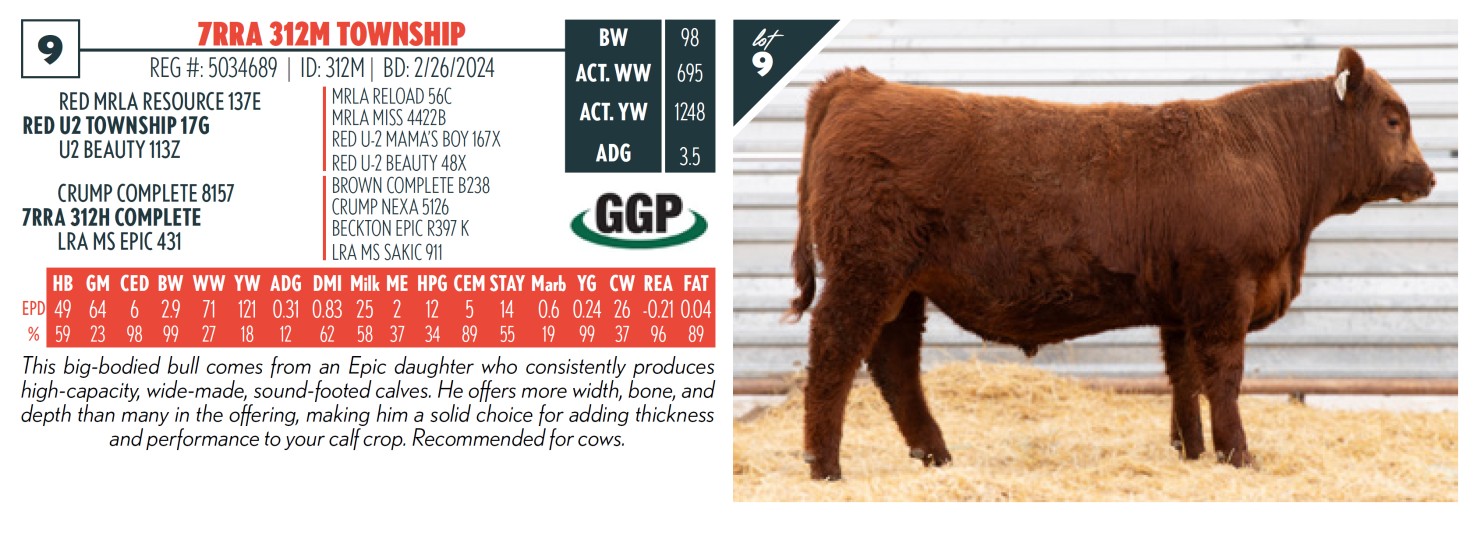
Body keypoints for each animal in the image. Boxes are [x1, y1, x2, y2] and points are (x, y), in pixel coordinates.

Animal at [786, 48, 1435, 480]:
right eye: (1393, 120)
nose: (1428, 177)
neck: (1267, 156)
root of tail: (862, 85)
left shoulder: (1182, 304)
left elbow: (1184, 377)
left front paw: (1190, 450)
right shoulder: (1225, 293)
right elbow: (1223, 377)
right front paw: (1238, 455)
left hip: (903, 286)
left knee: (894, 364)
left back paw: (935, 457)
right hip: (866, 272)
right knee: (835, 353)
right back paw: (825, 465)